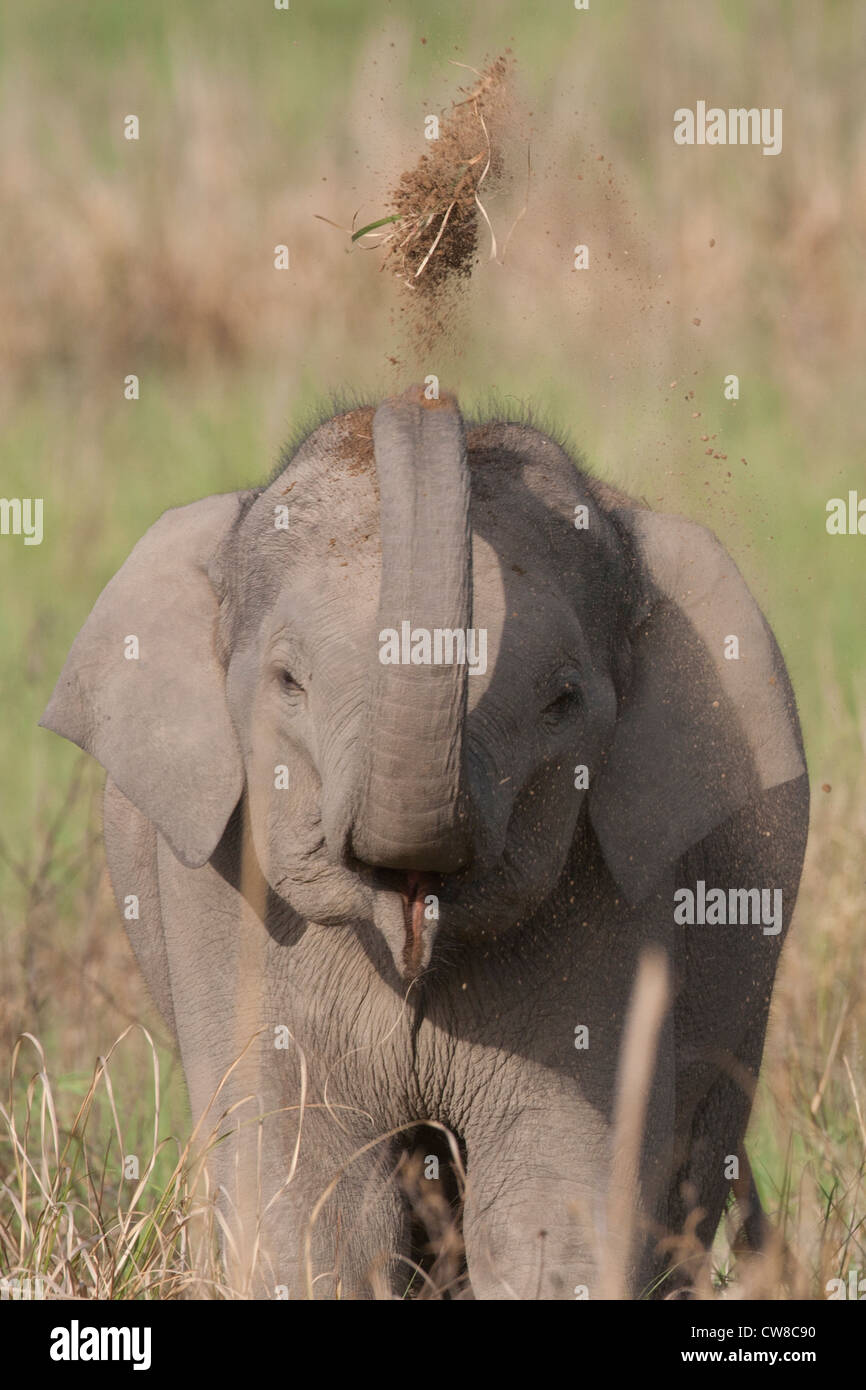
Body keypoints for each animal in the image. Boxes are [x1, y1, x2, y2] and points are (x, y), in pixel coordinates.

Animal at [41, 384, 809, 1299]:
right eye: (288, 683)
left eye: (562, 701)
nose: (427, 393)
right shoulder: (223, 892)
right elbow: (308, 1193)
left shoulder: (624, 899)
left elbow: (547, 1195)